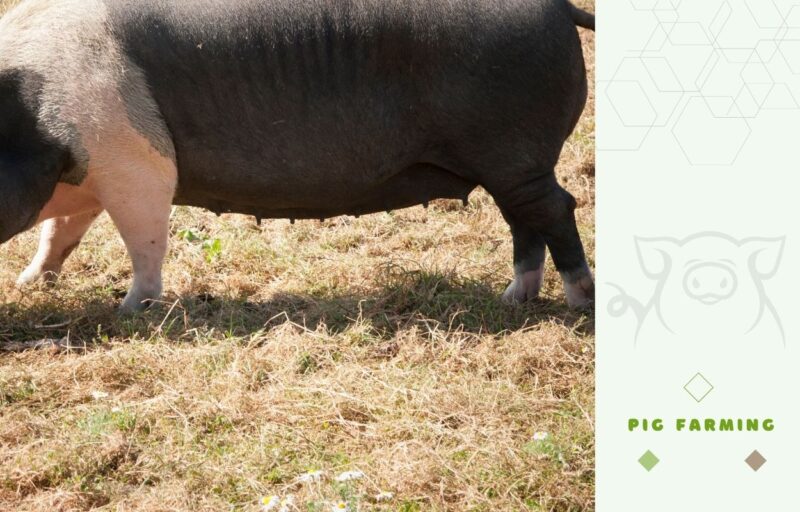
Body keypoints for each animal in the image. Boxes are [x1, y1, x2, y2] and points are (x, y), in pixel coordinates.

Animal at [0, 0, 595, 312]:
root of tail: (556, 5)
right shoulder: (89, 177)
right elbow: (59, 234)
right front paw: (29, 282)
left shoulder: (134, 158)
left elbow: (145, 240)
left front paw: (130, 311)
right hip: (509, 165)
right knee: (525, 221)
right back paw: (512, 300)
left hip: (512, 151)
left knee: (556, 208)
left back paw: (577, 304)